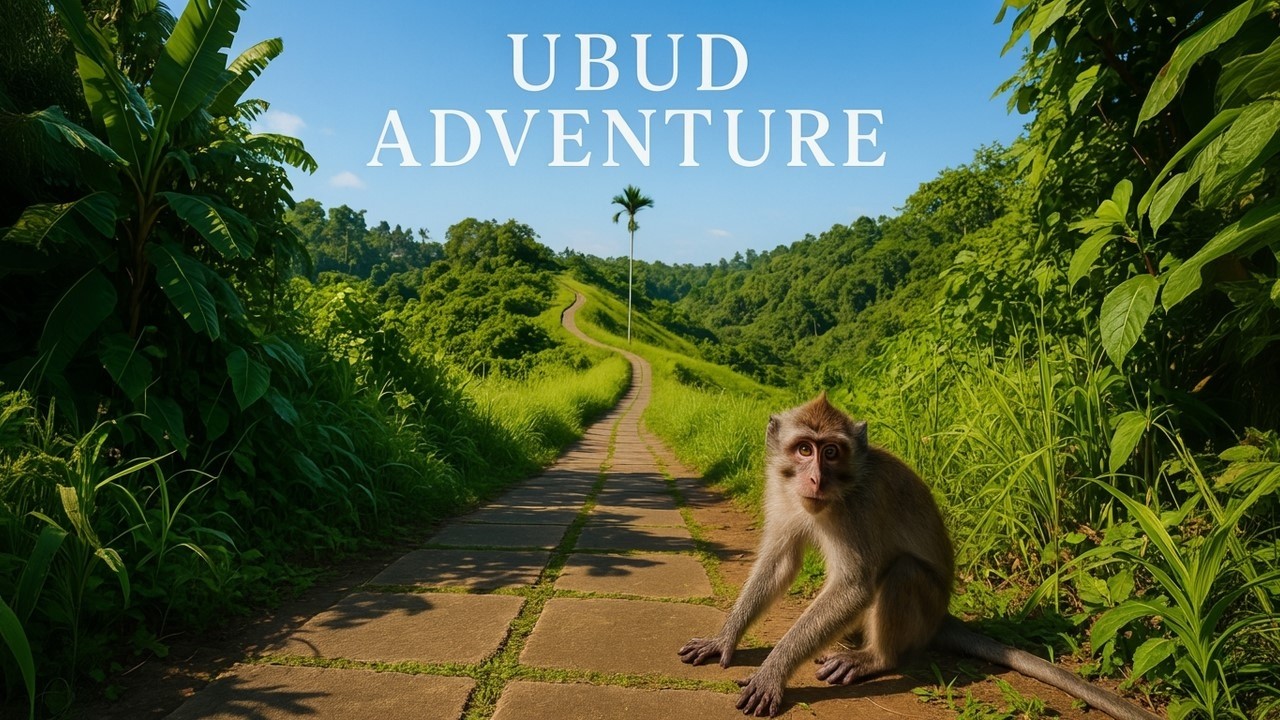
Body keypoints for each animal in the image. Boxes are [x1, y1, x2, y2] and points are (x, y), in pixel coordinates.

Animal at [678, 394, 1160, 720]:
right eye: (803, 449)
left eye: (831, 451)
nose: (815, 478)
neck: (831, 497)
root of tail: (942, 616)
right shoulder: (781, 492)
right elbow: (780, 563)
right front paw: (724, 638)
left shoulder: (860, 507)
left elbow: (855, 585)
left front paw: (772, 672)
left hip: (924, 610)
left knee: (903, 573)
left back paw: (875, 658)